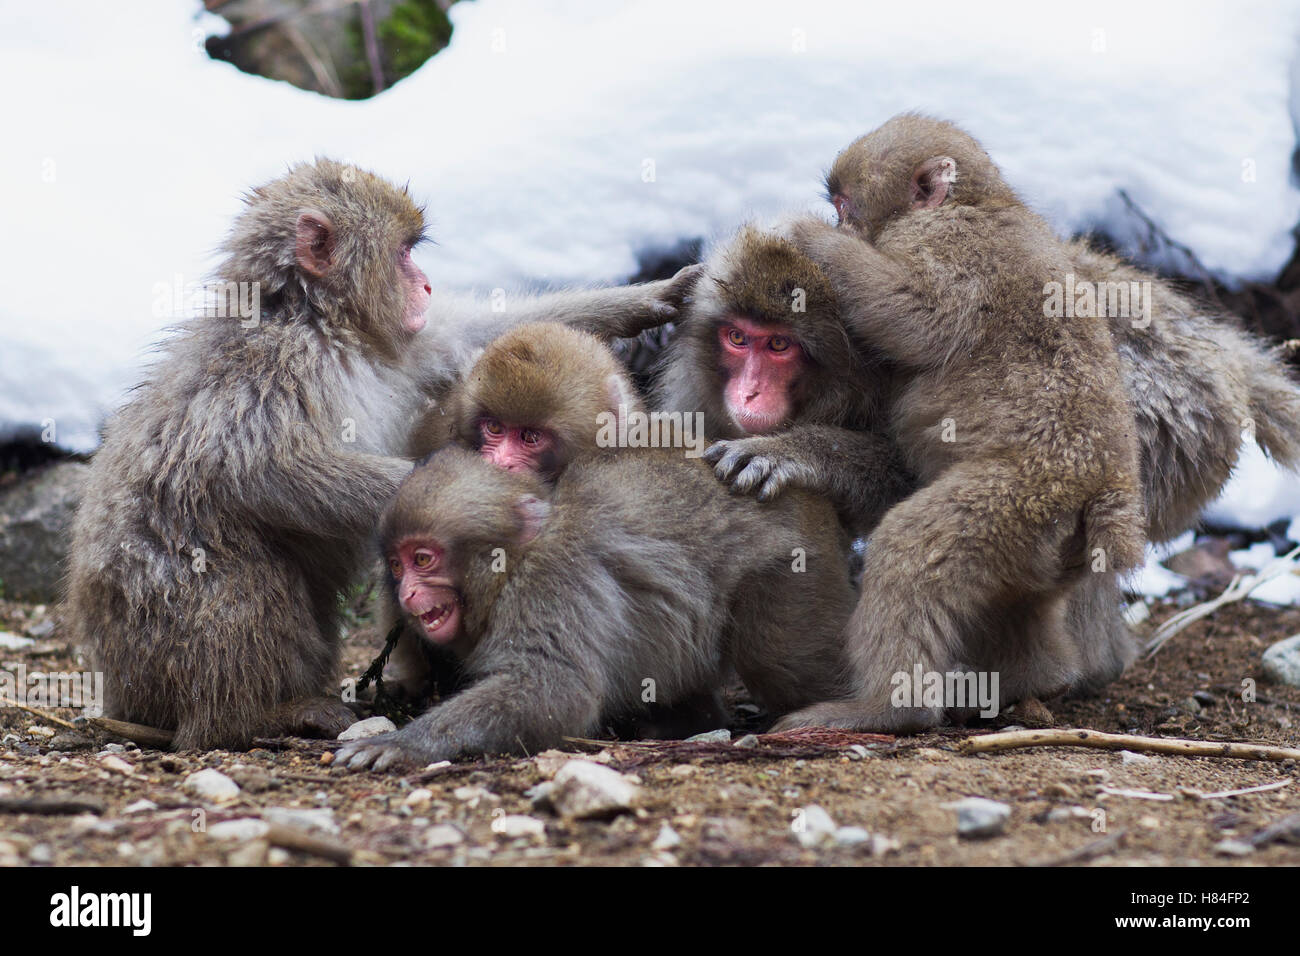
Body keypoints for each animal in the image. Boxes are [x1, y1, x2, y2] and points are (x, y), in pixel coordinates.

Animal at [64, 159, 700, 751]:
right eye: (402, 254)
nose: (424, 285)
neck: (319, 322)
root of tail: (120, 688)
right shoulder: (269, 367)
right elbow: (263, 468)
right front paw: (500, 492)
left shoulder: (396, 342)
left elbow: (468, 335)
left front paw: (653, 298)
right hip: (158, 620)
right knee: (238, 579)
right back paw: (253, 717)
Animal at [334, 443, 857, 770]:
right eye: (397, 565)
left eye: (423, 559)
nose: (407, 593)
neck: (513, 563)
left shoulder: (551, 582)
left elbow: (555, 688)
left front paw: (405, 743)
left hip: (792, 570)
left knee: (781, 661)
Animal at [764, 113, 1147, 732]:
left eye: (845, 206)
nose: (840, 222)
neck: (980, 201)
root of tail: (1106, 489)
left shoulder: (949, 244)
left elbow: (916, 314)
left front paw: (806, 236)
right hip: (1045, 546)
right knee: (1021, 600)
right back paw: (1031, 682)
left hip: (1018, 499)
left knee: (910, 549)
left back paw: (888, 709)